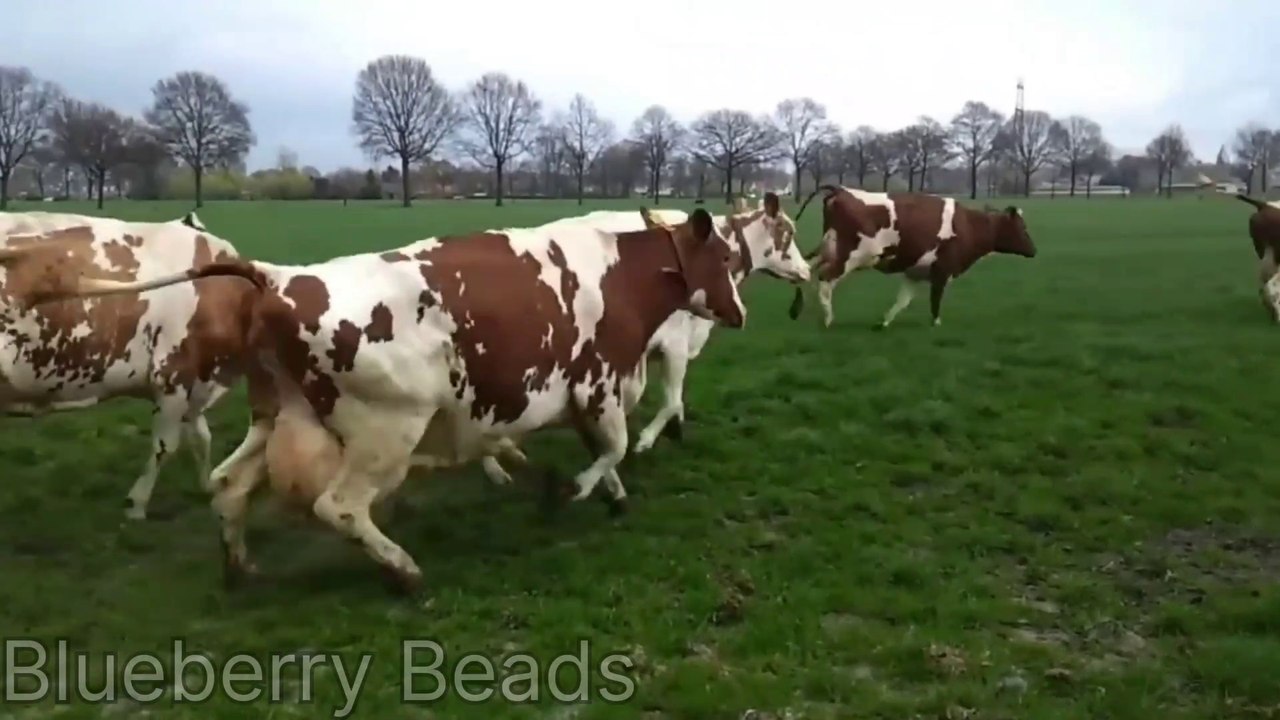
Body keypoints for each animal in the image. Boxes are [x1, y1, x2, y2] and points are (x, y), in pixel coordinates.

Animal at [0, 210, 255, 520]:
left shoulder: (196, 382)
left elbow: (201, 437)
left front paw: (209, 486)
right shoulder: (174, 377)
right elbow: (165, 447)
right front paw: (137, 505)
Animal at [786, 186, 1037, 328]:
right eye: (1023, 228)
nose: (1034, 250)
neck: (970, 226)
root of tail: (842, 190)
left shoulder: (915, 272)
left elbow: (903, 301)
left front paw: (884, 322)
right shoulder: (942, 270)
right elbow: (935, 300)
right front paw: (936, 323)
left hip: (829, 247)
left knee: (806, 270)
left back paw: (797, 310)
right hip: (852, 255)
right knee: (825, 280)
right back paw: (828, 319)